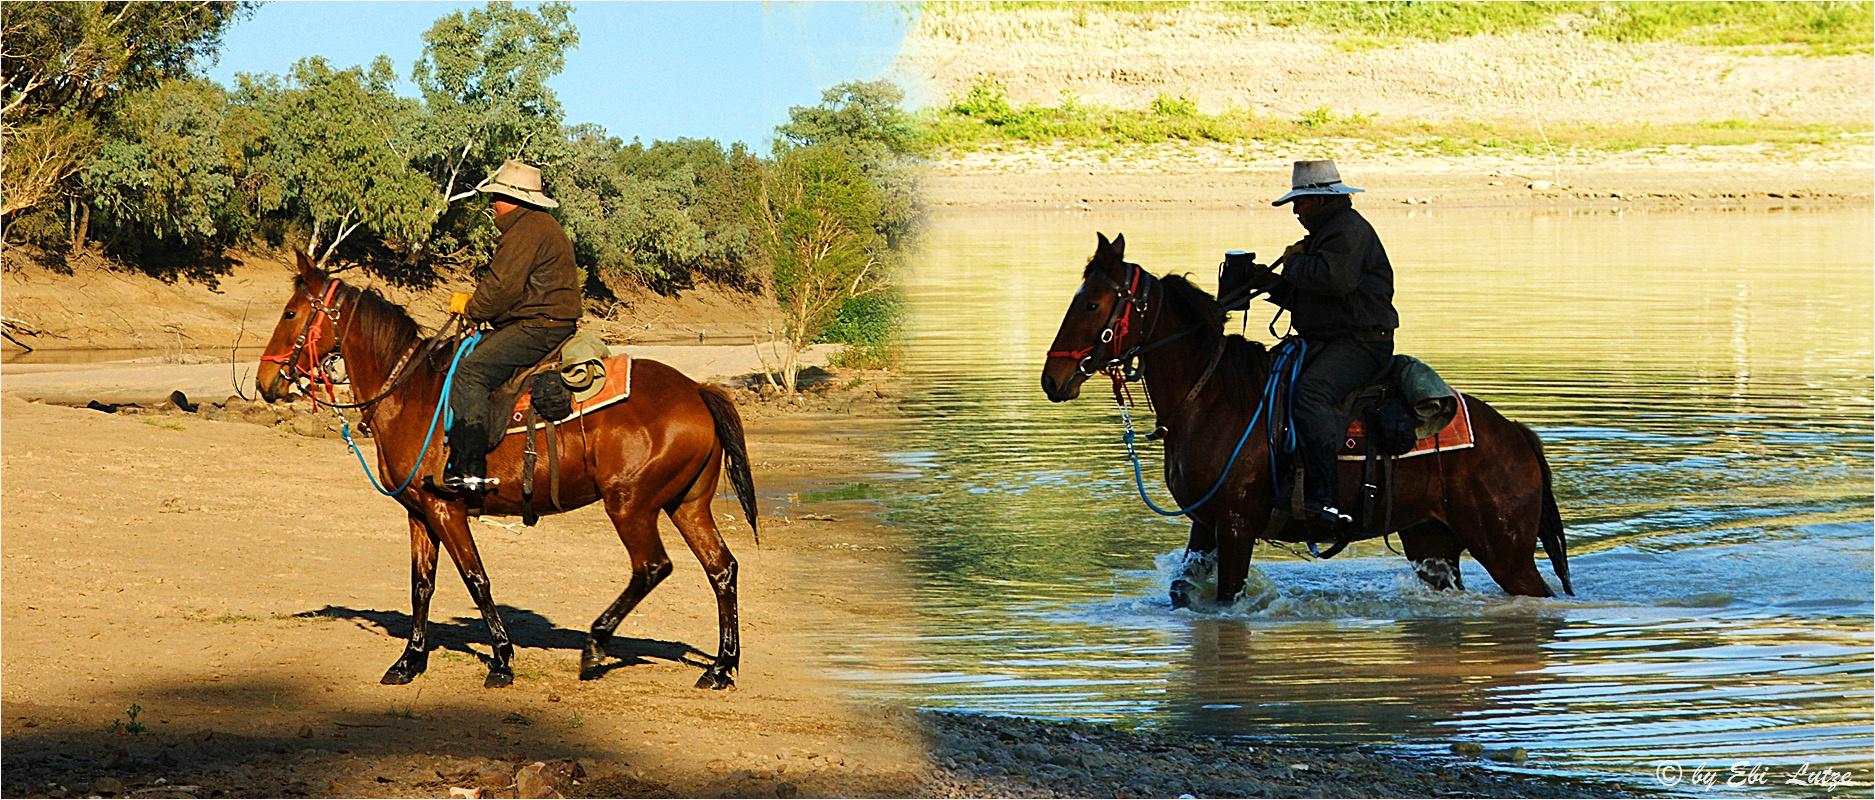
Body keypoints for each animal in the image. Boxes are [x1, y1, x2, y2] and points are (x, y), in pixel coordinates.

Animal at [256, 252, 753, 693]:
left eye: (290, 312)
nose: (264, 381)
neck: (411, 394)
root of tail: (697, 391)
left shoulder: (446, 508)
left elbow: (476, 580)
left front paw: (500, 659)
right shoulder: (418, 512)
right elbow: (421, 585)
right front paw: (410, 660)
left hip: (630, 506)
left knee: (652, 566)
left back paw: (596, 645)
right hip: (687, 506)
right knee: (722, 569)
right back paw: (720, 668)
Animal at [1042, 235, 1567, 603]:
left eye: (1092, 303)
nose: (1053, 378)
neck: (1209, 399)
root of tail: (1516, 435)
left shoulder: (1236, 524)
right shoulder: (1205, 525)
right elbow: (1183, 593)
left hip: (1505, 551)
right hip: (1431, 541)